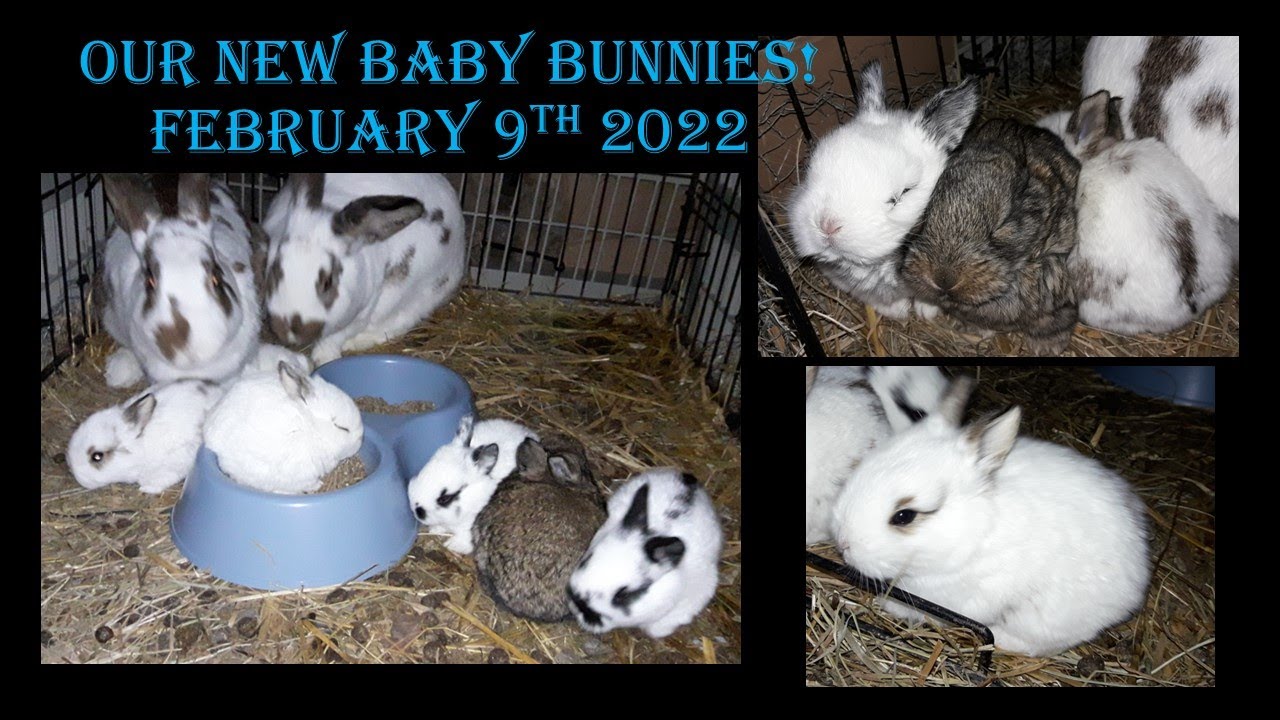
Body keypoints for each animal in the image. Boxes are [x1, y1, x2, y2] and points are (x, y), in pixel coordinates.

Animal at [260, 173, 466, 365]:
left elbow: (333, 339)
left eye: (328, 281)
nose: (291, 332)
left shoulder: (360, 314)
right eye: (275, 271)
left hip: (423, 297)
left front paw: (326, 359)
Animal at [830, 375, 1152, 657]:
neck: (976, 532)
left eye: (904, 516)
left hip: (1048, 619)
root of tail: (1140, 573)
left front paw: (887, 605)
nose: (844, 543)